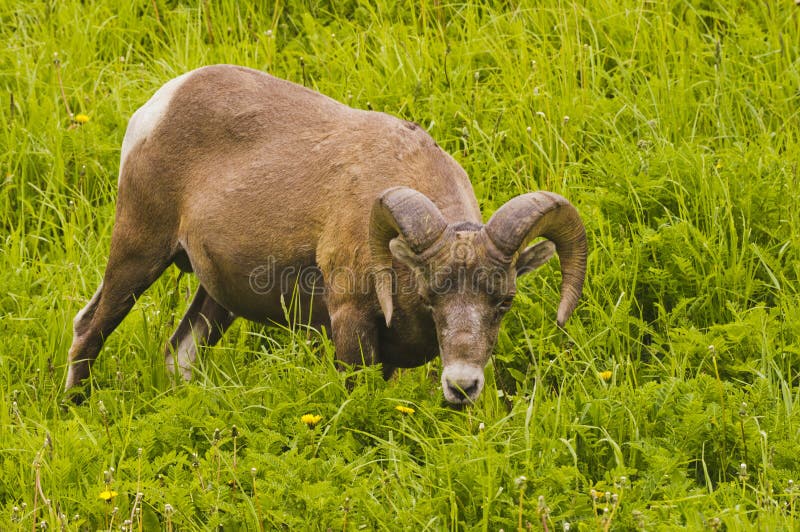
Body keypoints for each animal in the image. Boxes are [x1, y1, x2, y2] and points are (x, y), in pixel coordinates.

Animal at [65, 65, 587, 404]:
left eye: (503, 301)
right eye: (431, 295)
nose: (462, 386)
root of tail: (158, 106)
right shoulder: (350, 319)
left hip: (217, 295)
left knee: (180, 356)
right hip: (139, 252)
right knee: (89, 328)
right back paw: (75, 405)